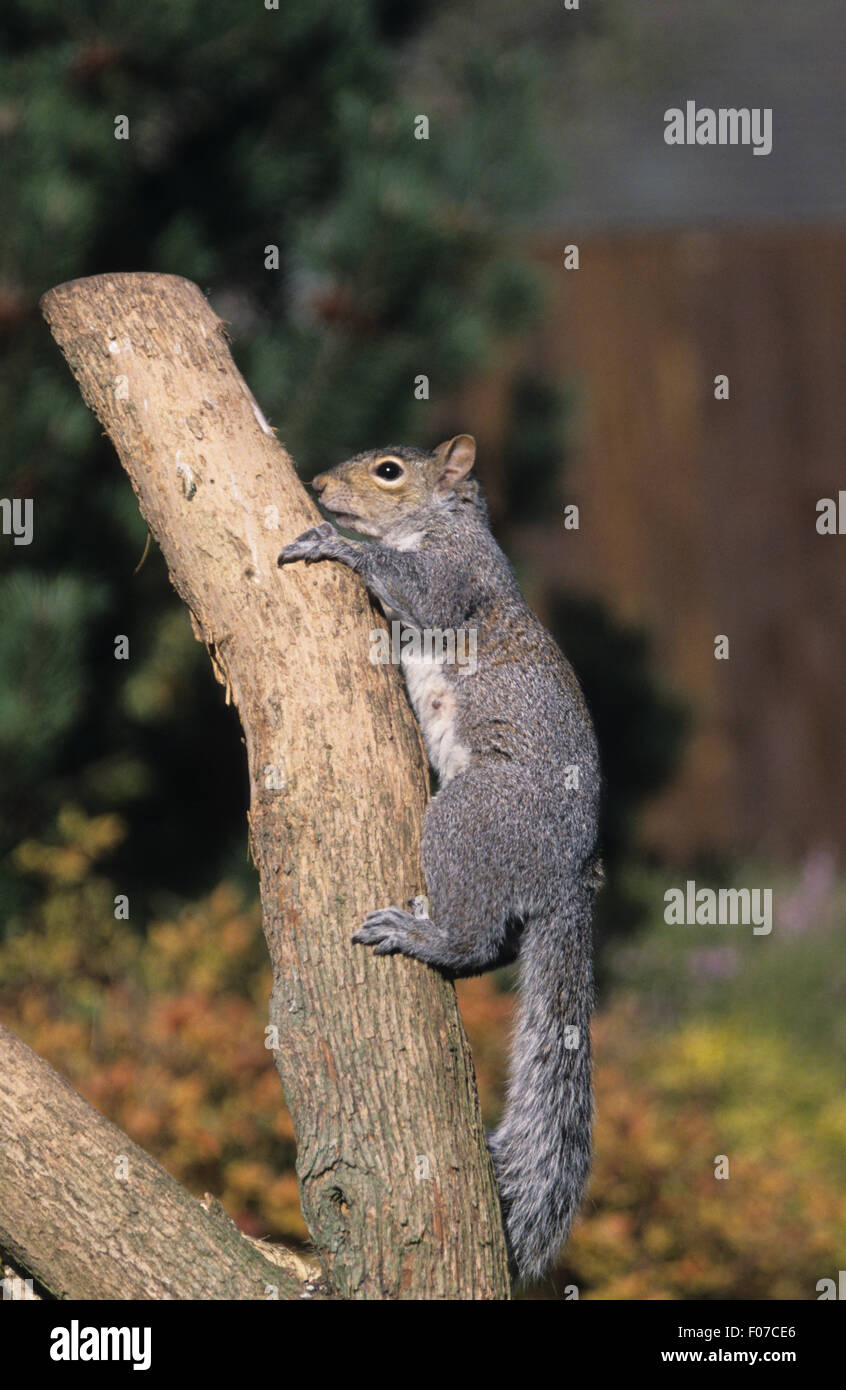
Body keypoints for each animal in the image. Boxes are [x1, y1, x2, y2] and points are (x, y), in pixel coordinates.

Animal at [277, 433, 601, 1283]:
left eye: (389, 471)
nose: (319, 484)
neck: (437, 524)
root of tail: (570, 876)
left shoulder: (455, 576)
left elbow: (418, 593)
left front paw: (337, 543)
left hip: (471, 815)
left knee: (478, 942)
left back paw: (423, 934)